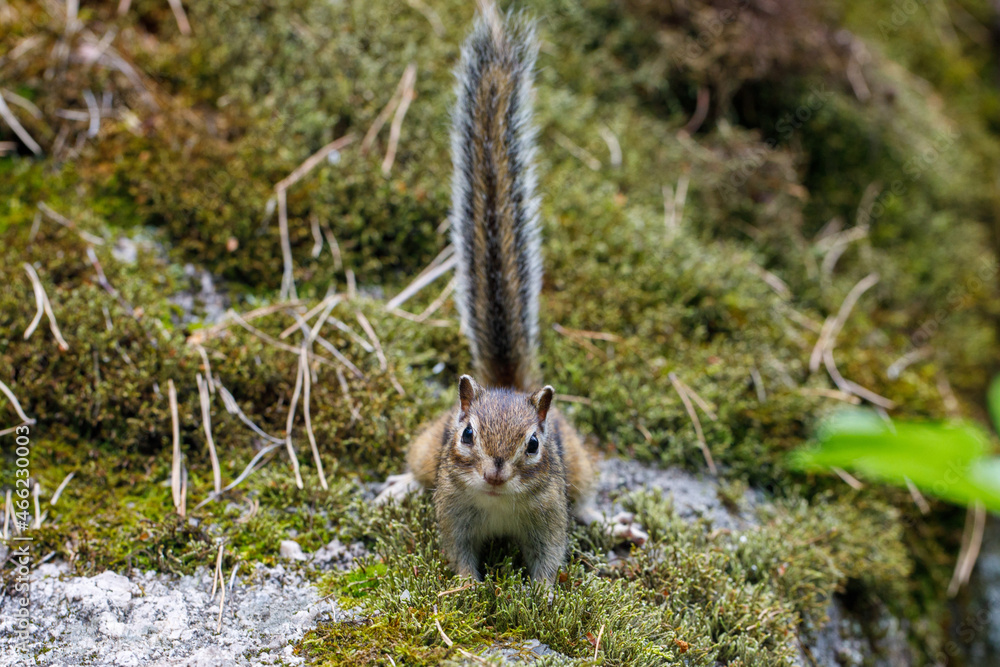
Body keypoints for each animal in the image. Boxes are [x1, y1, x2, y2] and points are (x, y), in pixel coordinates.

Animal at [376, 3, 646, 584]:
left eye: (533, 444)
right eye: (467, 435)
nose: (497, 472)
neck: (499, 503)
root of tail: (506, 381)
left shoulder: (548, 516)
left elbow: (550, 555)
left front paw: (540, 595)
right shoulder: (451, 510)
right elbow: (456, 552)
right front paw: (465, 589)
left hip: (580, 465)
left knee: (583, 501)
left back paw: (610, 522)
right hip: (425, 446)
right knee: (417, 466)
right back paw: (400, 487)